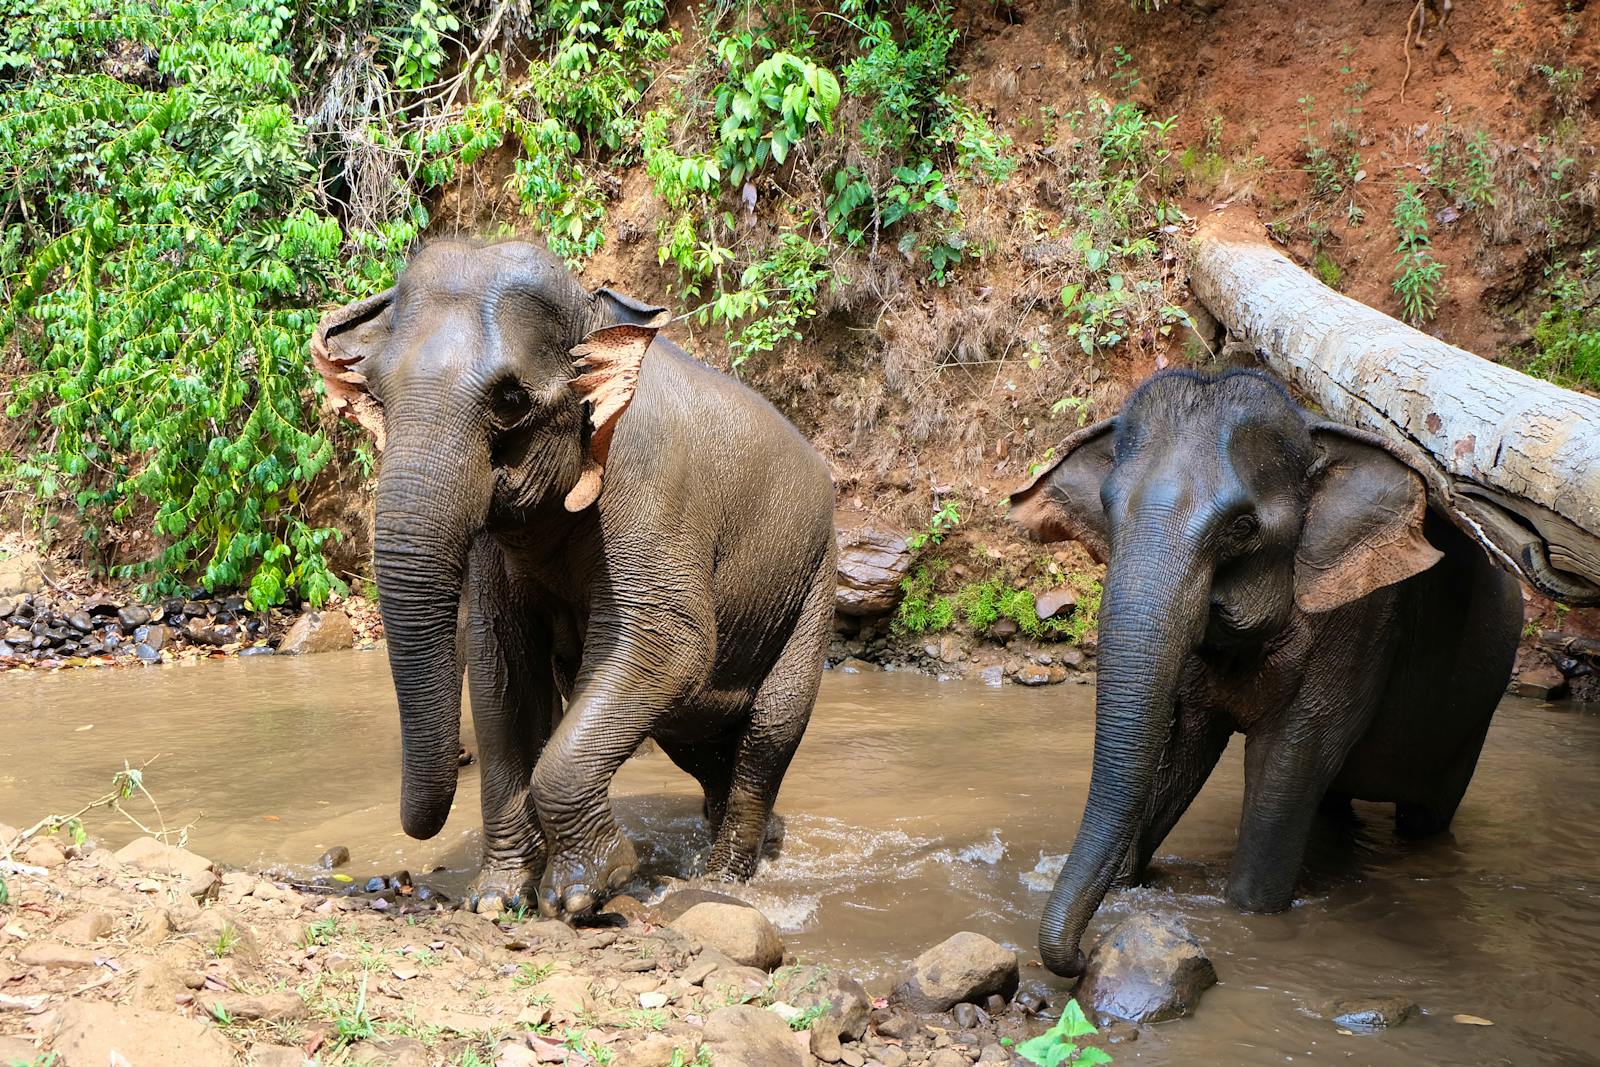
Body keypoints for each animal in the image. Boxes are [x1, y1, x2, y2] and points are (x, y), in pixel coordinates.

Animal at [310, 239, 837, 919]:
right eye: (376, 395)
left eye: (510, 403)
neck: (593, 310)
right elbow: (500, 666)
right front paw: (495, 899)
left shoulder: (651, 493)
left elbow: (670, 645)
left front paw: (587, 890)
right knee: (703, 747)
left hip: (815, 584)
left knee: (767, 735)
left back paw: (722, 881)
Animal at [1009, 368, 1521, 977]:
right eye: (1108, 511)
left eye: (1242, 526)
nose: (1080, 958)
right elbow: (1181, 744)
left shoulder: (1364, 620)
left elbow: (1289, 763)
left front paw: (1250, 915)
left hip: (1476, 710)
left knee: (1425, 815)